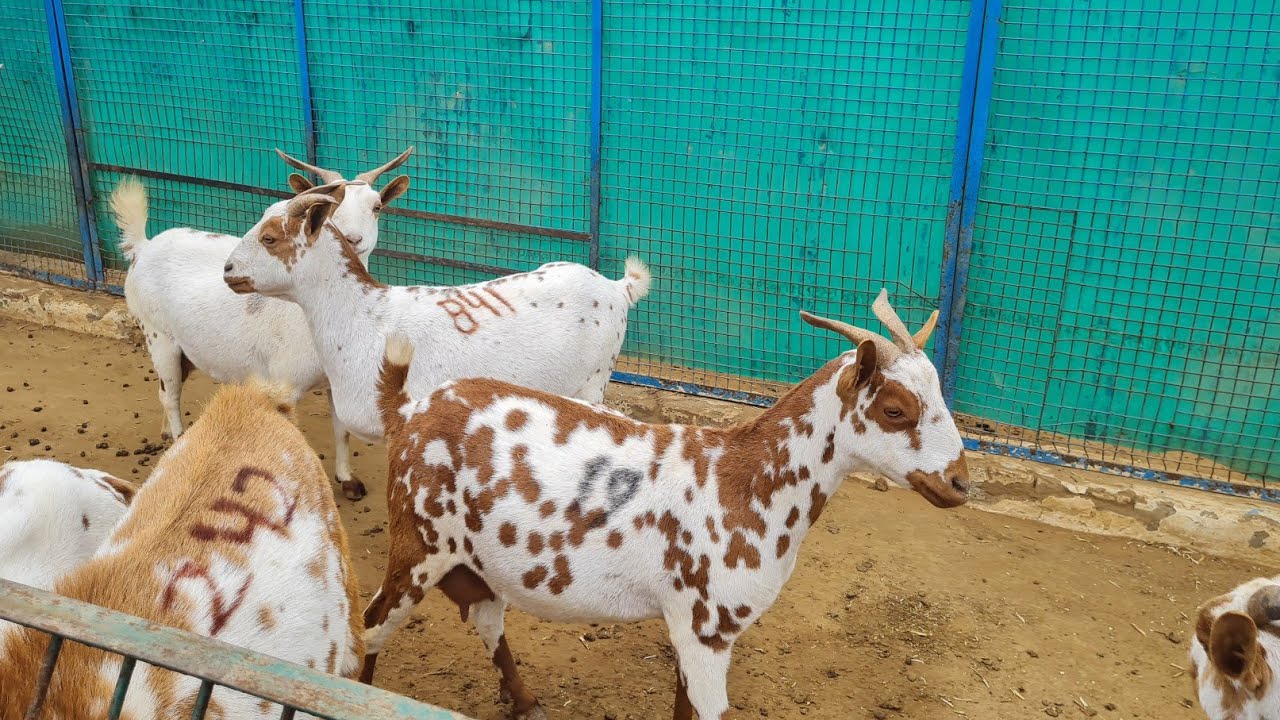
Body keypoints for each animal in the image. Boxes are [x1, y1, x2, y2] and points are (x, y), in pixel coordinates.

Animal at [110, 148, 412, 500]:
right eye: (332, 208)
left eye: (377, 206)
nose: (354, 238)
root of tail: (143, 247)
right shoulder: (282, 386)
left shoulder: (334, 380)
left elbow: (342, 430)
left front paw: (347, 479)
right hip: (158, 336)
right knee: (170, 396)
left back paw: (164, 433)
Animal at [360, 290, 969, 720]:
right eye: (895, 410)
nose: (960, 483)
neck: (747, 480)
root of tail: (408, 410)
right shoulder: (708, 630)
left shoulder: (690, 625)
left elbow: (683, 708)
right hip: (417, 545)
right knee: (372, 623)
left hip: (471, 562)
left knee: (485, 619)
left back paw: (527, 702)